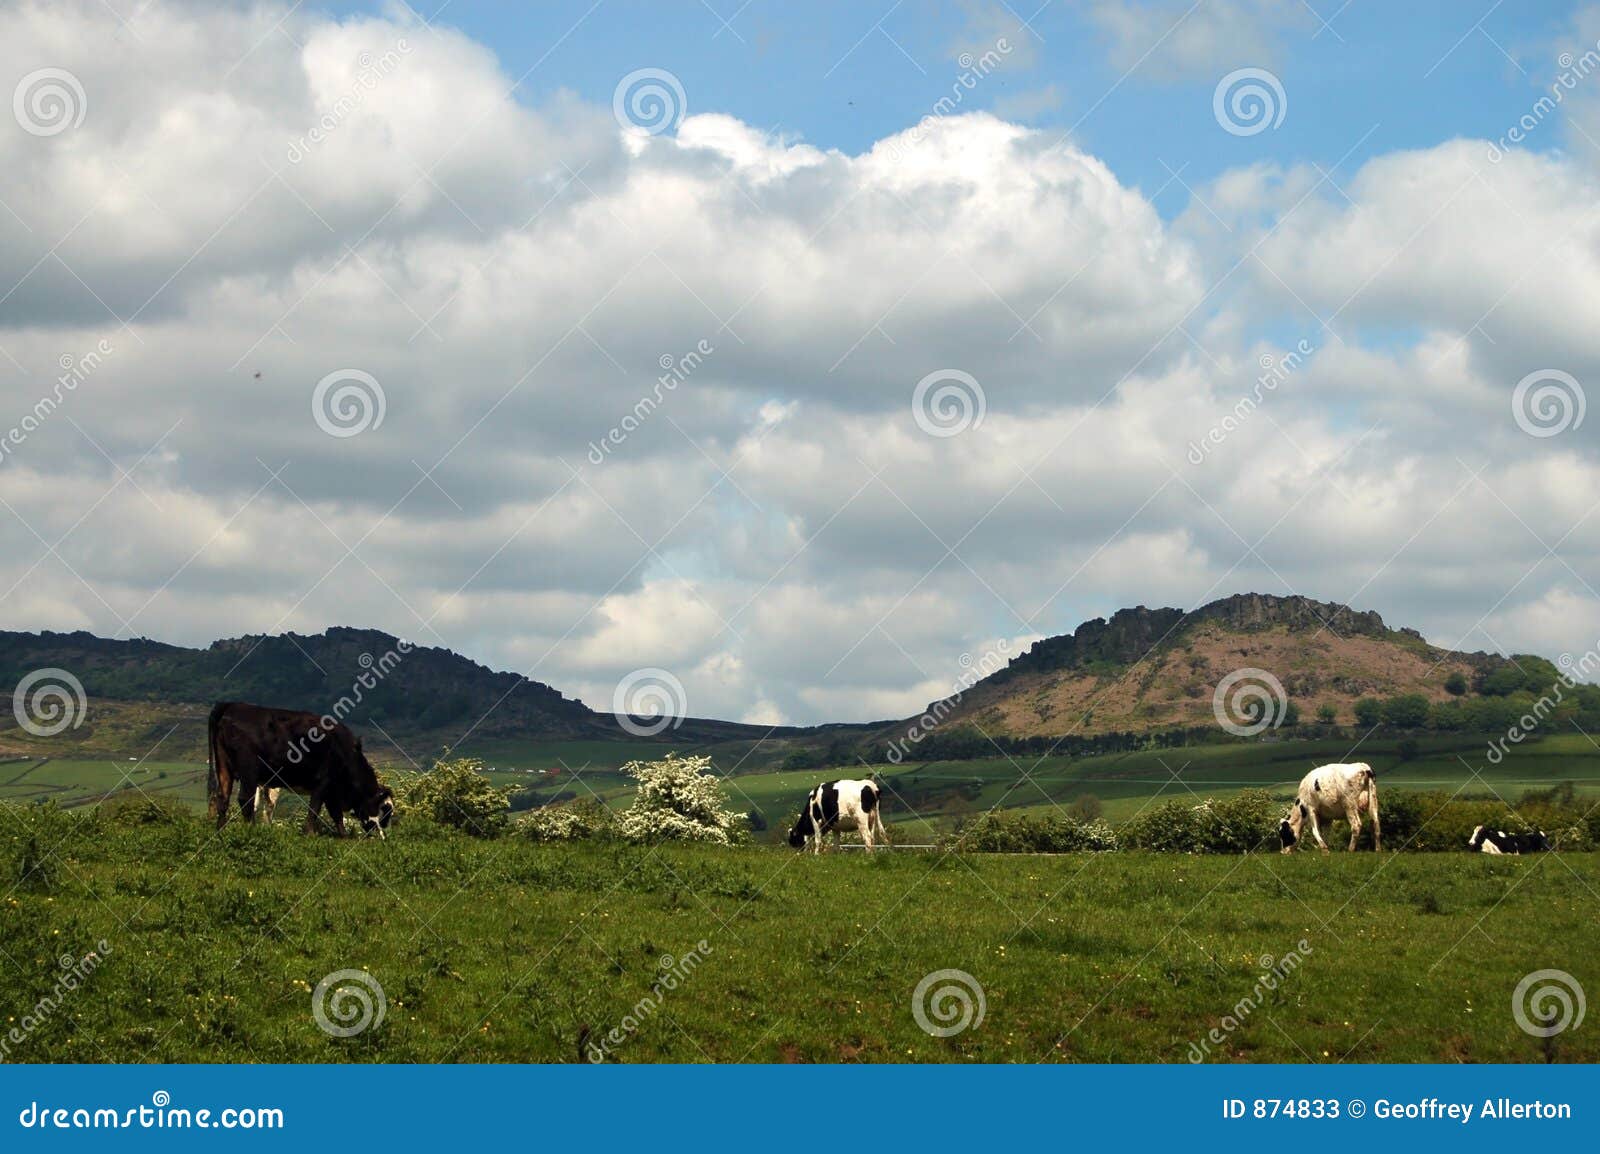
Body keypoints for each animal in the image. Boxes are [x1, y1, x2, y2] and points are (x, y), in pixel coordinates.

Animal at [207, 702, 394, 837]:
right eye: (384, 810)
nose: (381, 837)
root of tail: (233, 705)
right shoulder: (324, 782)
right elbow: (315, 808)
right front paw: (310, 834)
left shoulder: (332, 790)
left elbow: (336, 814)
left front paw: (343, 836)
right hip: (249, 770)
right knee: (245, 798)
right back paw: (251, 829)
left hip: (223, 765)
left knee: (222, 797)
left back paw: (220, 831)